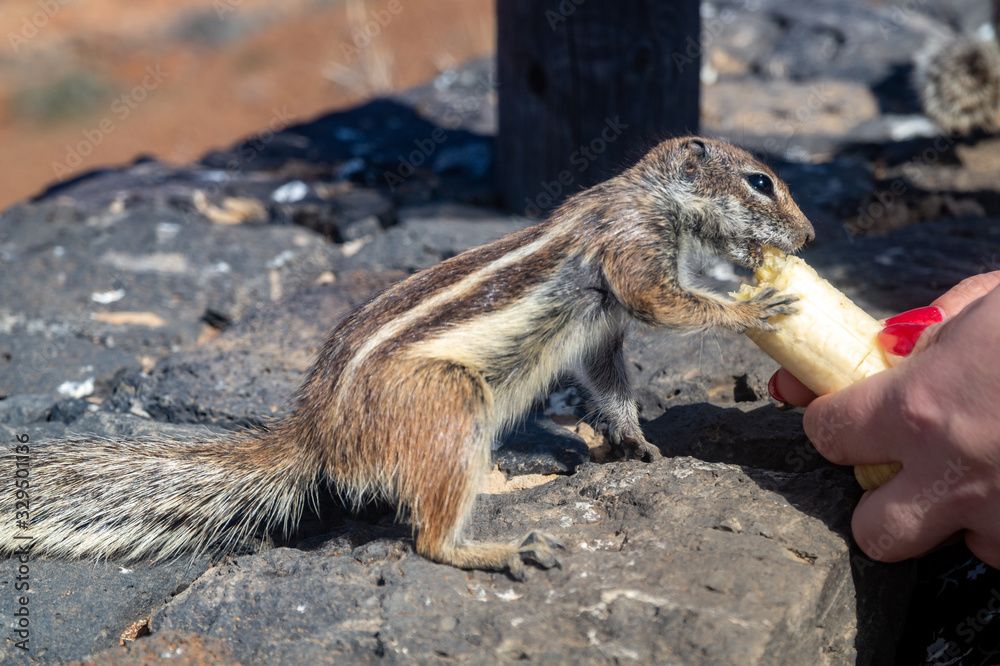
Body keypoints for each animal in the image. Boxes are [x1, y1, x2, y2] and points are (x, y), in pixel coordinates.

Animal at [1, 137, 814, 579]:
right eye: (760, 182)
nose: (807, 238)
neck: (652, 196)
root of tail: (319, 434)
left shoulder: (605, 330)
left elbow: (609, 384)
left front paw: (637, 444)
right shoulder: (633, 255)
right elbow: (669, 305)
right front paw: (753, 306)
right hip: (448, 403)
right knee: (428, 538)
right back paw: (497, 547)